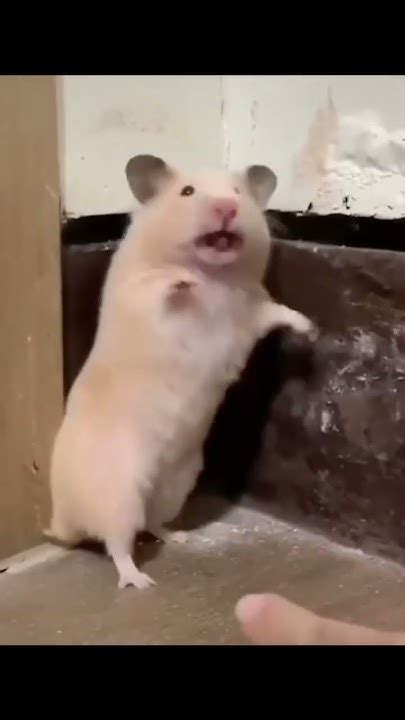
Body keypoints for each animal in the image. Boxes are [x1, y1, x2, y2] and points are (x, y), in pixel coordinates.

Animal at [46, 155, 317, 590]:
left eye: (237, 192)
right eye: (187, 192)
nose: (227, 208)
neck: (215, 275)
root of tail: (62, 519)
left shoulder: (252, 311)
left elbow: (280, 312)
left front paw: (311, 330)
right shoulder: (138, 293)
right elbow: (163, 286)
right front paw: (183, 281)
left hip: (177, 484)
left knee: (150, 523)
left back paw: (178, 537)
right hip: (117, 493)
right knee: (117, 543)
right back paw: (139, 582)